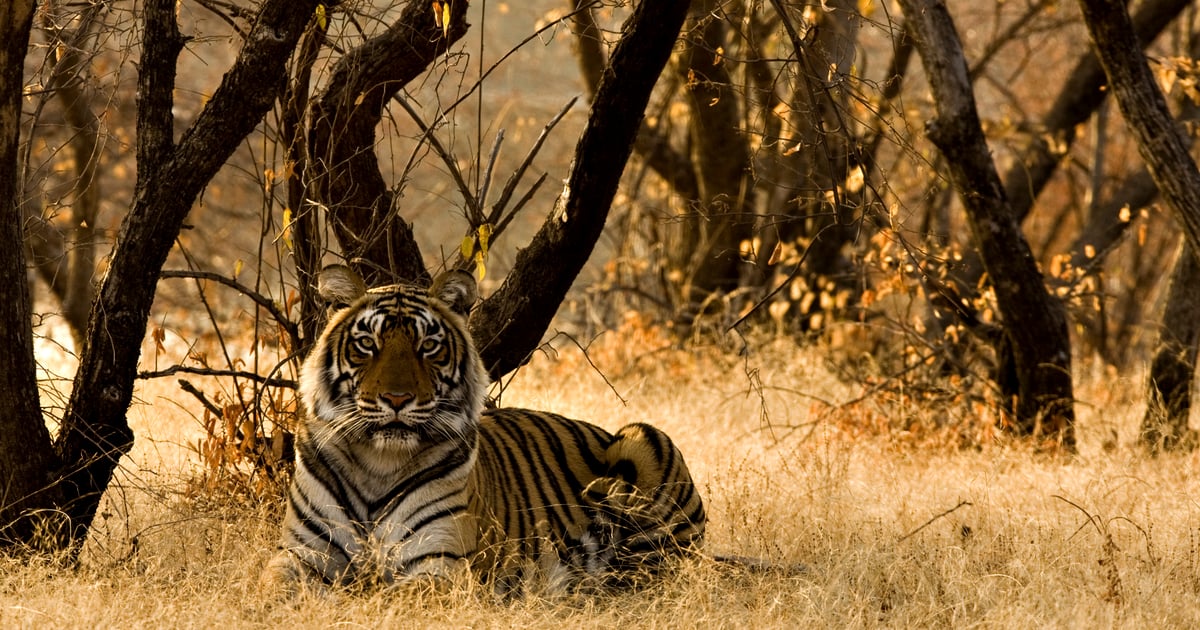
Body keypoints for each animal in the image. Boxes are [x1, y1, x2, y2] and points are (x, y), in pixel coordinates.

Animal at [264, 265, 705, 595]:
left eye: (428, 346)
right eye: (368, 344)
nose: (397, 398)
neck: (379, 462)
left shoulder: (439, 563)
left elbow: (386, 597)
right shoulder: (301, 555)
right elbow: (272, 588)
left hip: (644, 440)